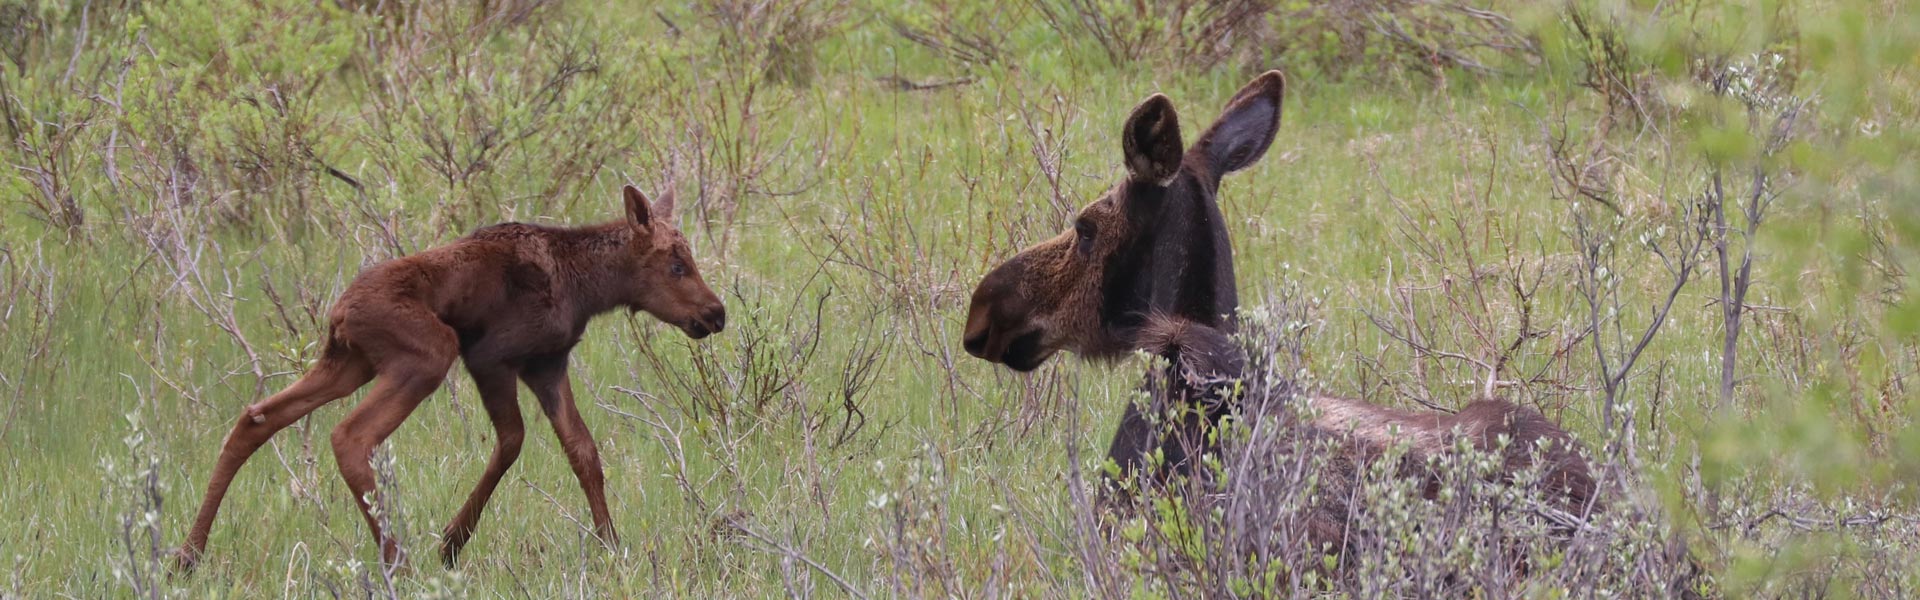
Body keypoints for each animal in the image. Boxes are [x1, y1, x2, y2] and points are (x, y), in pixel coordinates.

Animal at [173, 184, 727, 572]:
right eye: (677, 265)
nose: (716, 313)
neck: (588, 288)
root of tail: (338, 313)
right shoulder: (492, 357)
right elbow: (512, 441)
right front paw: (451, 543)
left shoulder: (548, 365)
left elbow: (583, 451)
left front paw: (611, 546)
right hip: (427, 353)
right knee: (349, 435)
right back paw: (400, 562)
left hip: (349, 363)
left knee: (256, 417)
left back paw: (187, 555)